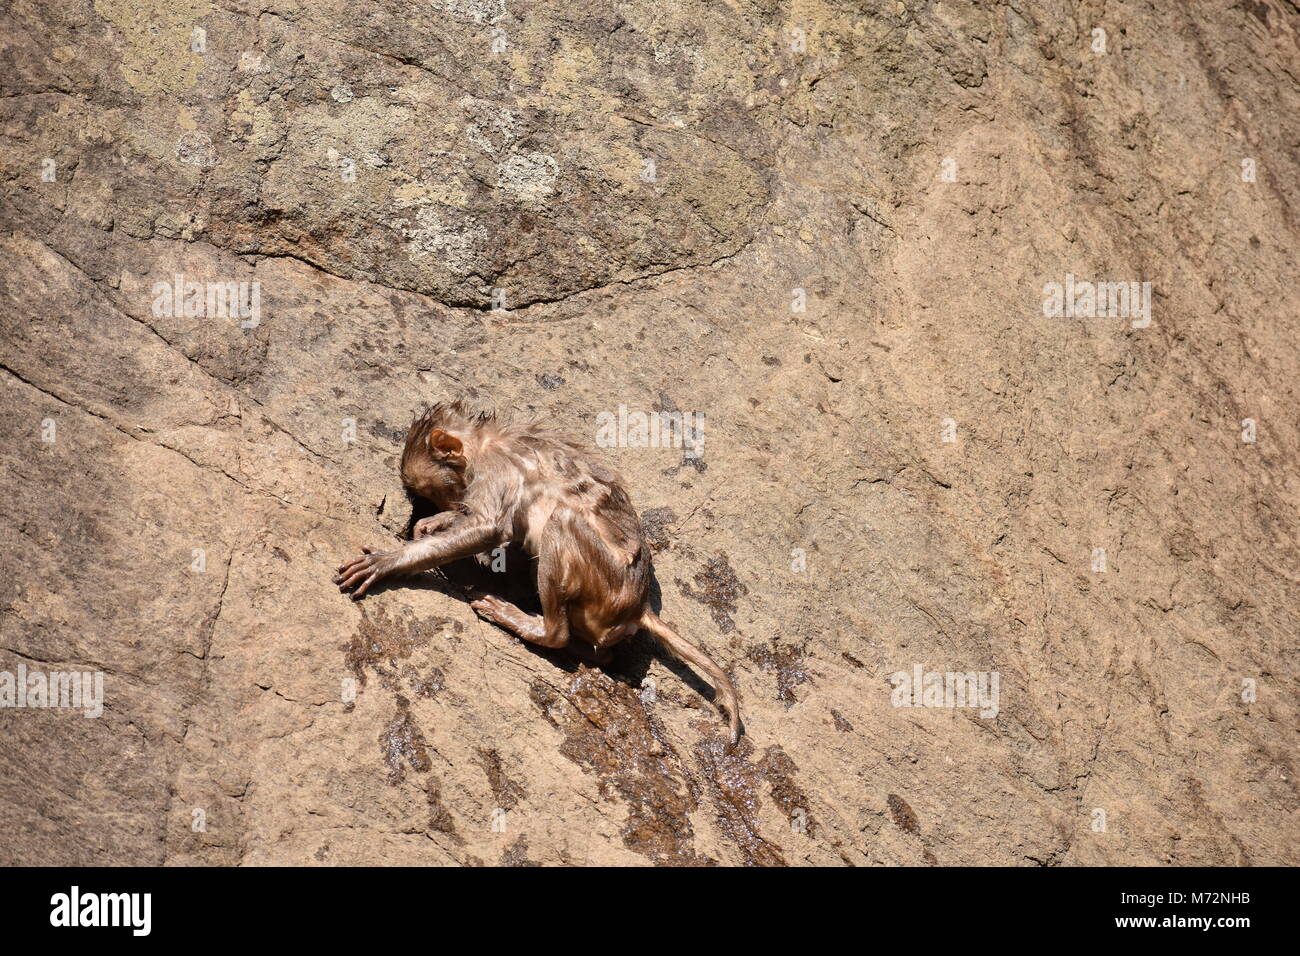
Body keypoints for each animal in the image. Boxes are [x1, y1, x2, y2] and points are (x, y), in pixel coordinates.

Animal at [332, 402, 742, 745]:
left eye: (436, 490)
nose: (449, 505)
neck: (483, 441)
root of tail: (639, 608)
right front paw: (437, 523)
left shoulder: (494, 468)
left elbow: (490, 528)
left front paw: (390, 560)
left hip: (604, 582)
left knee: (559, 526)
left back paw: (538, 627)